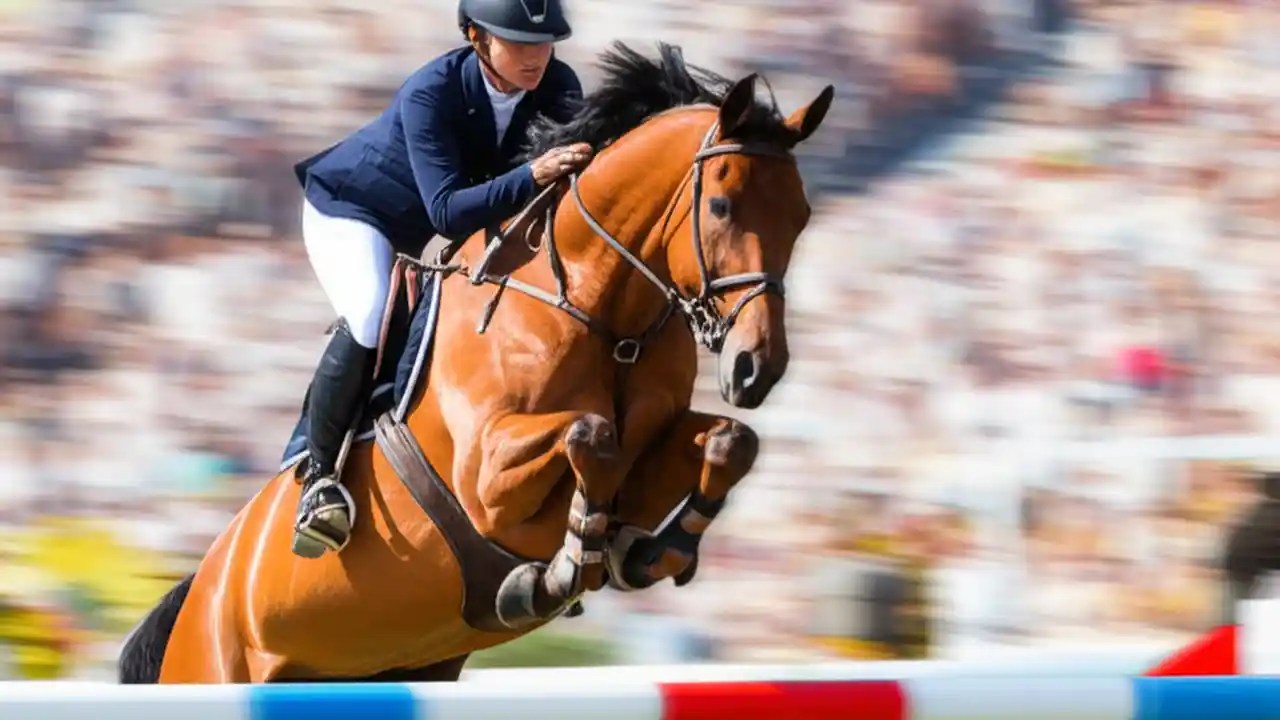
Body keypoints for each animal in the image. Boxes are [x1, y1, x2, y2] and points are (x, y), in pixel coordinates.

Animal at [118, 41, 833, 684]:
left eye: (801, 217)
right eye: (720, 207)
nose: (756, 368)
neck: (603, 314)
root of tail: (201, 588)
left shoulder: (651, 446)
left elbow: (730, 440)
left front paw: (656, 550)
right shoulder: (488, 478)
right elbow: (591, 434)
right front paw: (565, 568)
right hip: (218, 666)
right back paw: (322, 504)